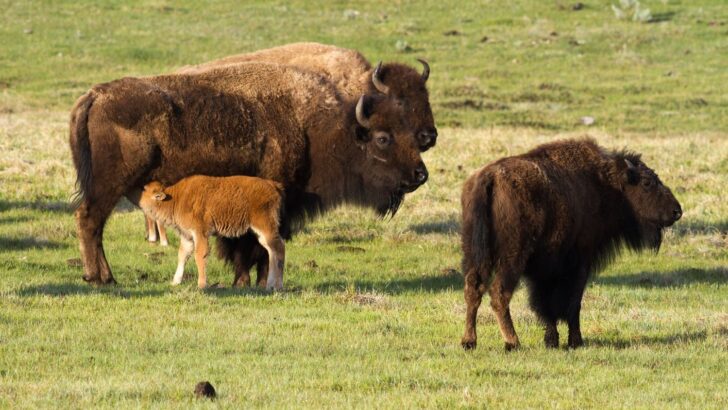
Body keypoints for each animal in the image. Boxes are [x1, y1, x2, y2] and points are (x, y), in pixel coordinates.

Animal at [460, 138, 682, 350]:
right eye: (647, 182)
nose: (677, 211)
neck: (604, 183)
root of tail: (490, 177)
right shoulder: (580, 262)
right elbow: (573, 303)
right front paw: (575, 341)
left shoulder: (546, 271)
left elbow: (546, 305)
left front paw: (552, 341)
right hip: (512, 258)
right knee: (499, 293)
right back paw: (512, 342)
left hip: (475, 255)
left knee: (473, 289)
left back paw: (469, 342)